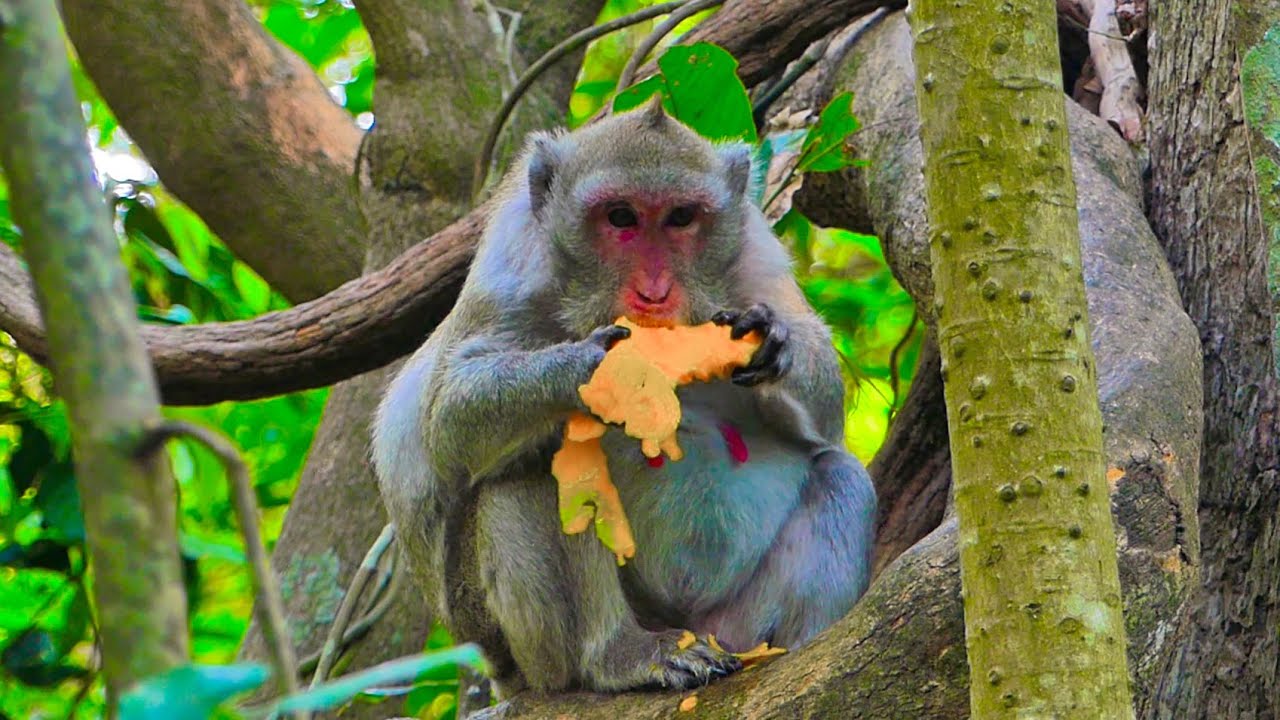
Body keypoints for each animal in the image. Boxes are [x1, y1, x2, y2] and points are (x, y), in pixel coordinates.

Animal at [372, 100, 876, 695]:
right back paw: (619, 655)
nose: (653, 292)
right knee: (531, 468)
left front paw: (775, 339)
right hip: (529, 650)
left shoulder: (754, 252)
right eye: (619, 218)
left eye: (681, 218)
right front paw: (595, 368)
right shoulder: (511, 265)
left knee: (839, 475)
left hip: (733, 623)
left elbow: (825, 414)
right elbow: (451, 417)